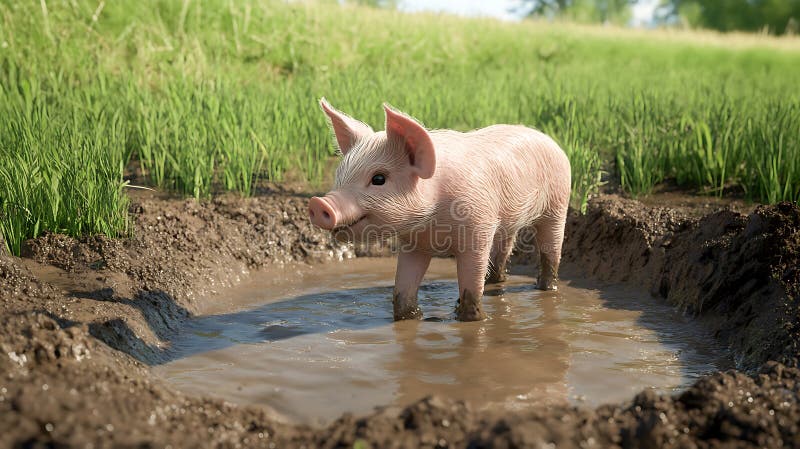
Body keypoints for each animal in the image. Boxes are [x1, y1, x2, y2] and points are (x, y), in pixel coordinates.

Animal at [308, 99, 571, 321]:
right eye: (339, 175)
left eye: (379, 178)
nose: (319, 203)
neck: (432, 220)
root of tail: (550, 141)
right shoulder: (414, 244)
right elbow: (402, 291)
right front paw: (410, 318)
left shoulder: (478, 225)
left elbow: (471, 283)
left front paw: (471, 319)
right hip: (508, 221)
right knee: (503, 250)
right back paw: (496, 281)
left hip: (558, 203)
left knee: (551, 250)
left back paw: (546, 288)